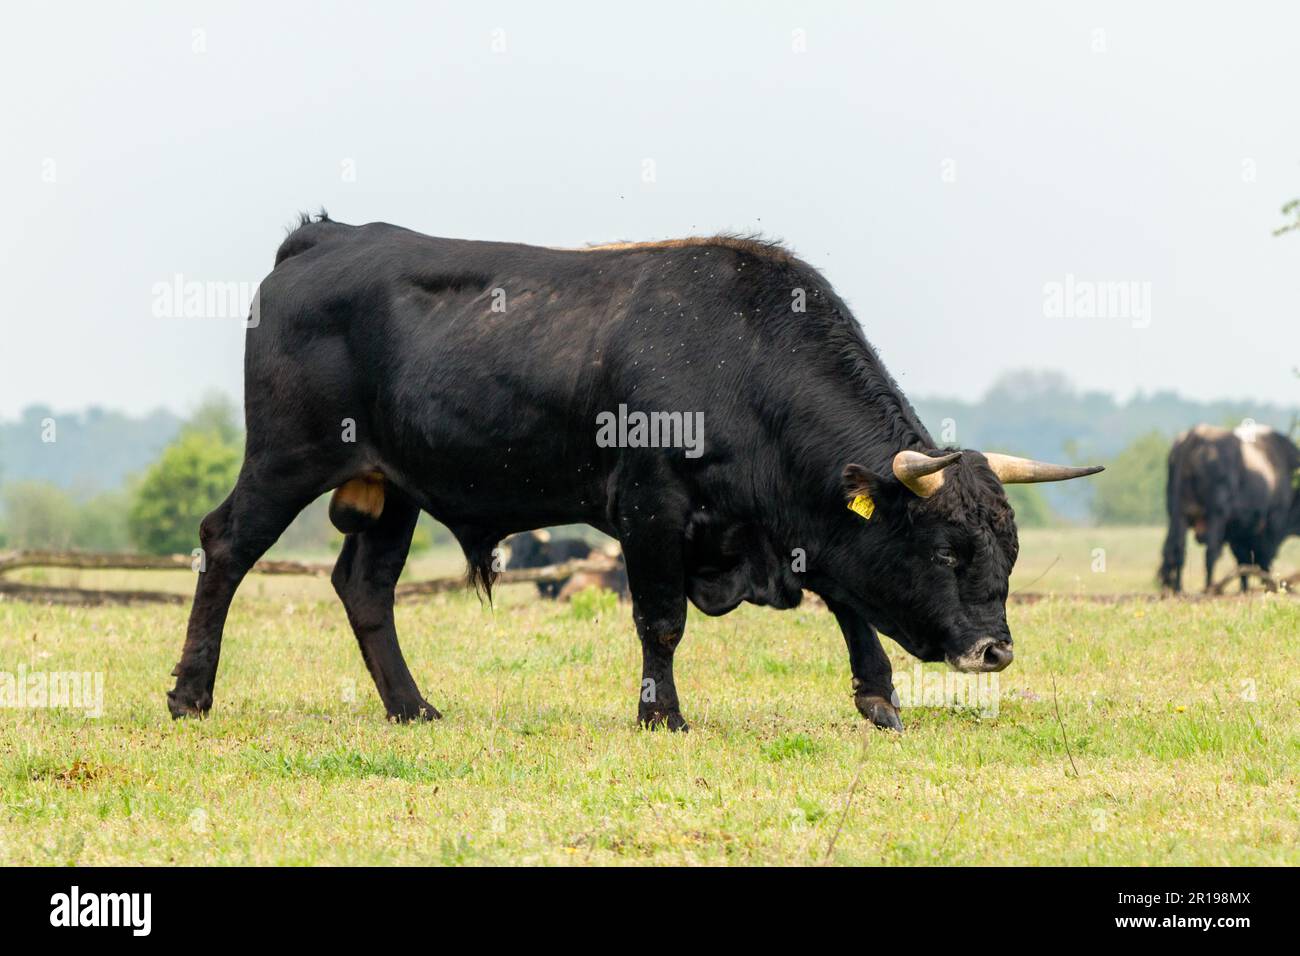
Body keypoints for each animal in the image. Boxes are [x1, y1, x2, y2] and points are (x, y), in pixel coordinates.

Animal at [167, 214, 1103, 732]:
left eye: (1009, 553)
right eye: (948, 552)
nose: (994, 650)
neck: (741, 357)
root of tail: (327, 235)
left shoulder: (795, 519)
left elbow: (845, 597)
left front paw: (878, 698)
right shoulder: (650, 509)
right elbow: (660, 621)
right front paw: (662, 714)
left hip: (390, 488)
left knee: (365, 586)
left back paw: (413, 708)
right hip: (288, 458)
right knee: (224, 546)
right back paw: (191, 695)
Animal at [1158, 423, 1300, 592]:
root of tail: (1197, 435)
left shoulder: (1238, 533)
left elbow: (1244, 562)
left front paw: (1245, 588)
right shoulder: (1272, 525)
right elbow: (1263, 560)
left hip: (1179, 514)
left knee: (1178, 551)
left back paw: (1179, 589)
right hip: (1215, 515)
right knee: (1210, 553)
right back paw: (1210, 587)